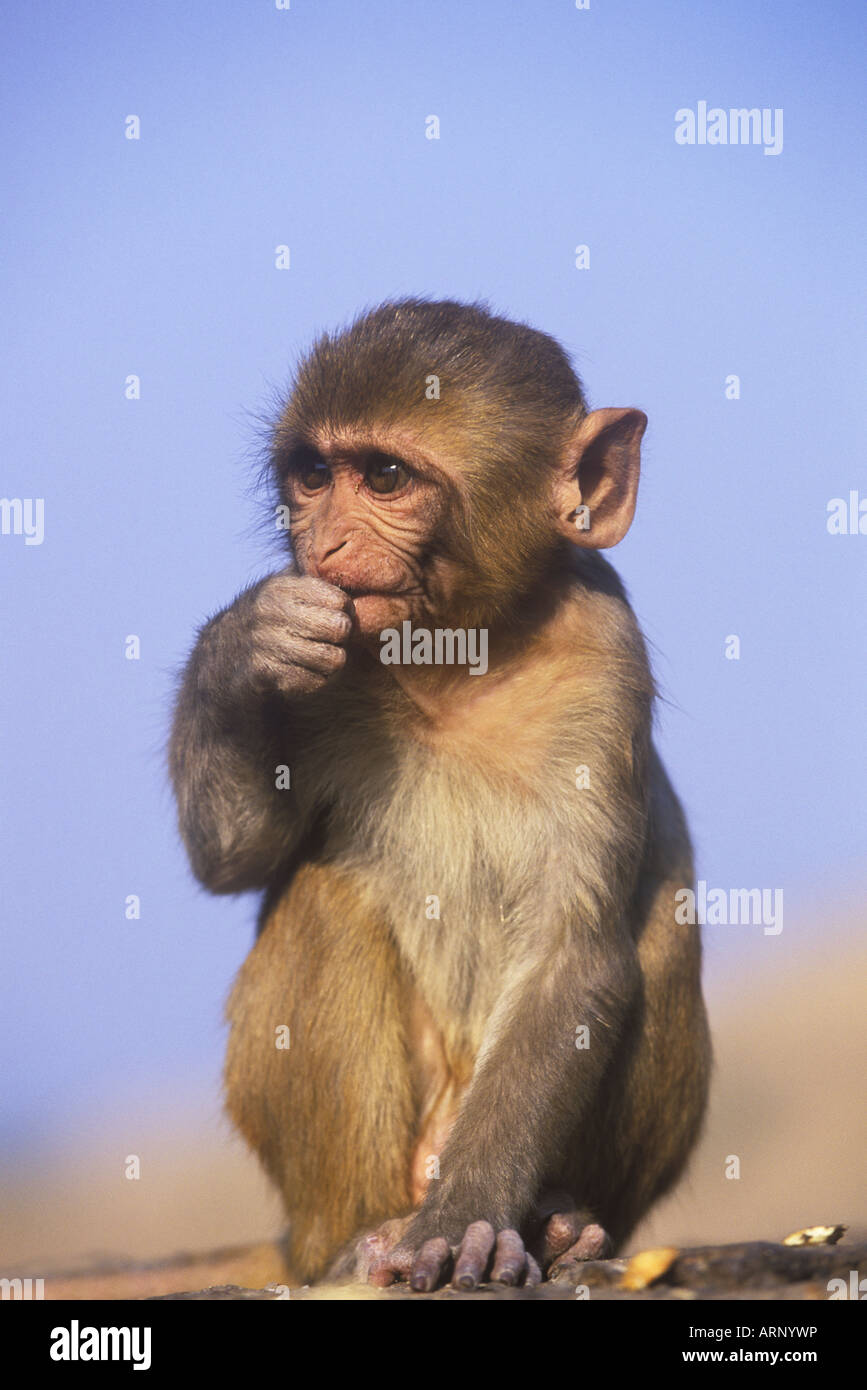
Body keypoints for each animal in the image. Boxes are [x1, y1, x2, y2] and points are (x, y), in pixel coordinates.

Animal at [169, 298, 711, 1292]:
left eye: (385, 476)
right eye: (314, 475)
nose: (325, 544)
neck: (454, 657)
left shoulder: (604, 653)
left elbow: (572, 955)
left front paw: (465, 1217)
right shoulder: (327, 661)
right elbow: (236, 856)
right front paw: (242, 642)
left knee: (657, 926)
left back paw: (562, 1224)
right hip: (349, 1187)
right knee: (321, 897)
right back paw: (361, 1239)